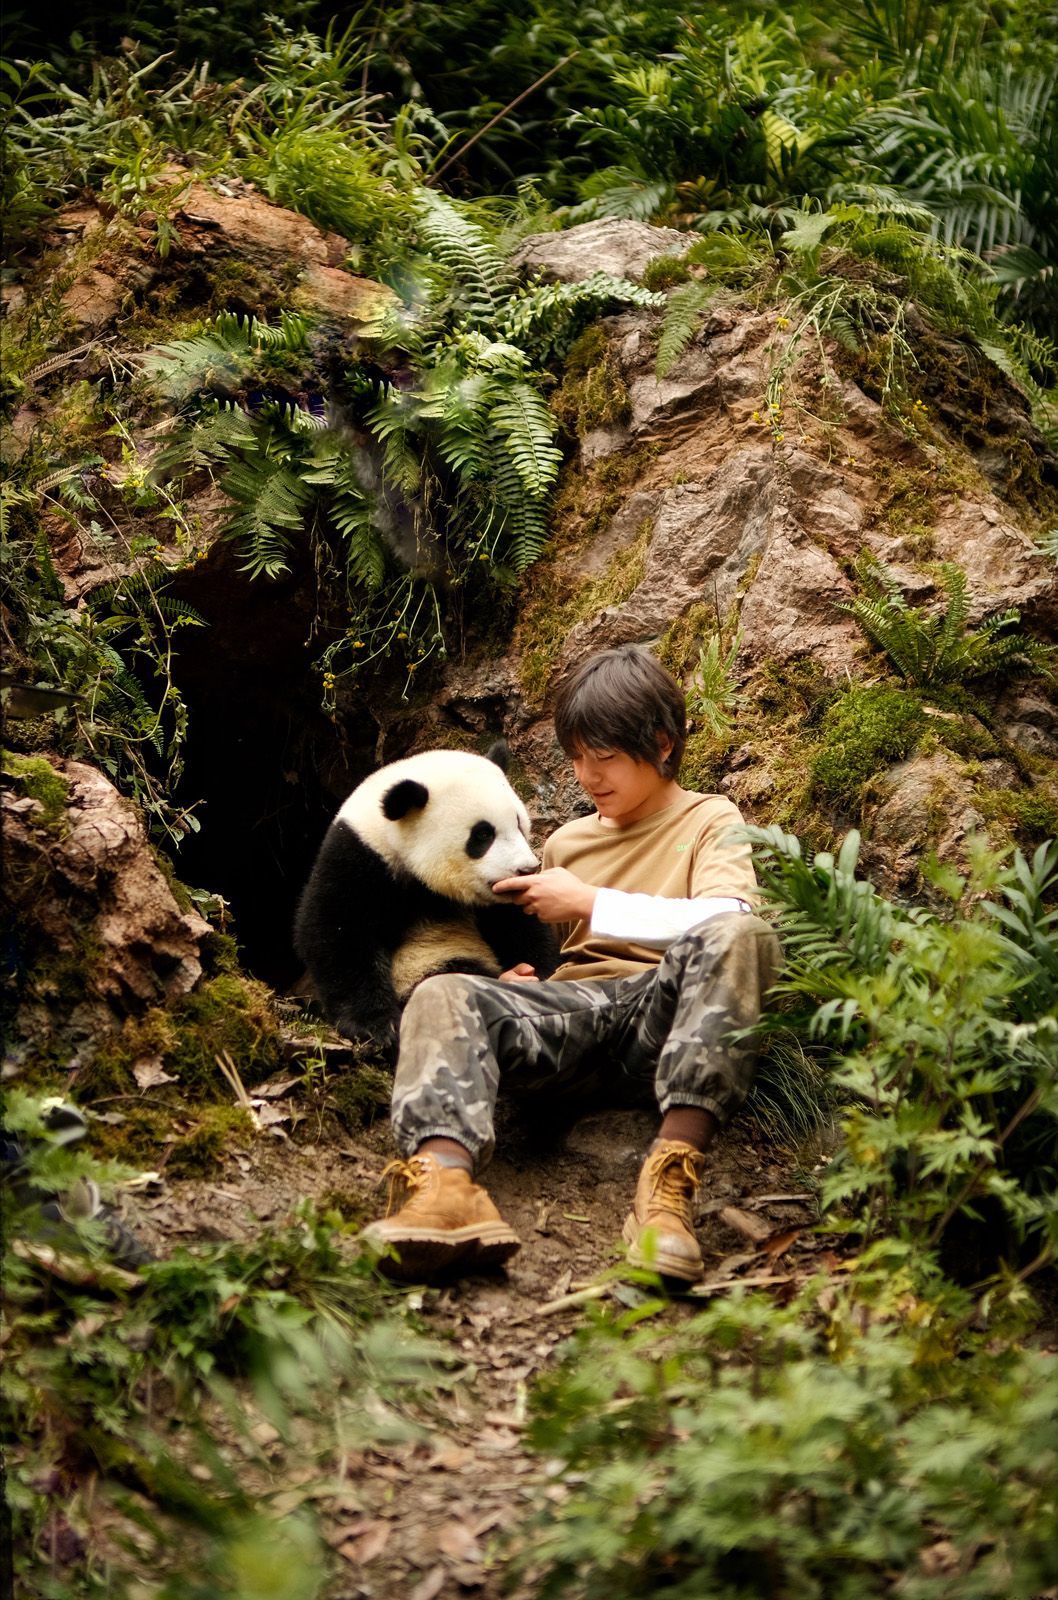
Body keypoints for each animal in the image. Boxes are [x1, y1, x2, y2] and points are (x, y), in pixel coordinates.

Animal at [293, 746, 559, 1056]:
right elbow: (336, 930)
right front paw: (377, 1027)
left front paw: (543, 974)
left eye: (518, 822)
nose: (526, 869)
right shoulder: (359, 857)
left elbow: (520, 925)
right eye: (483, 834)